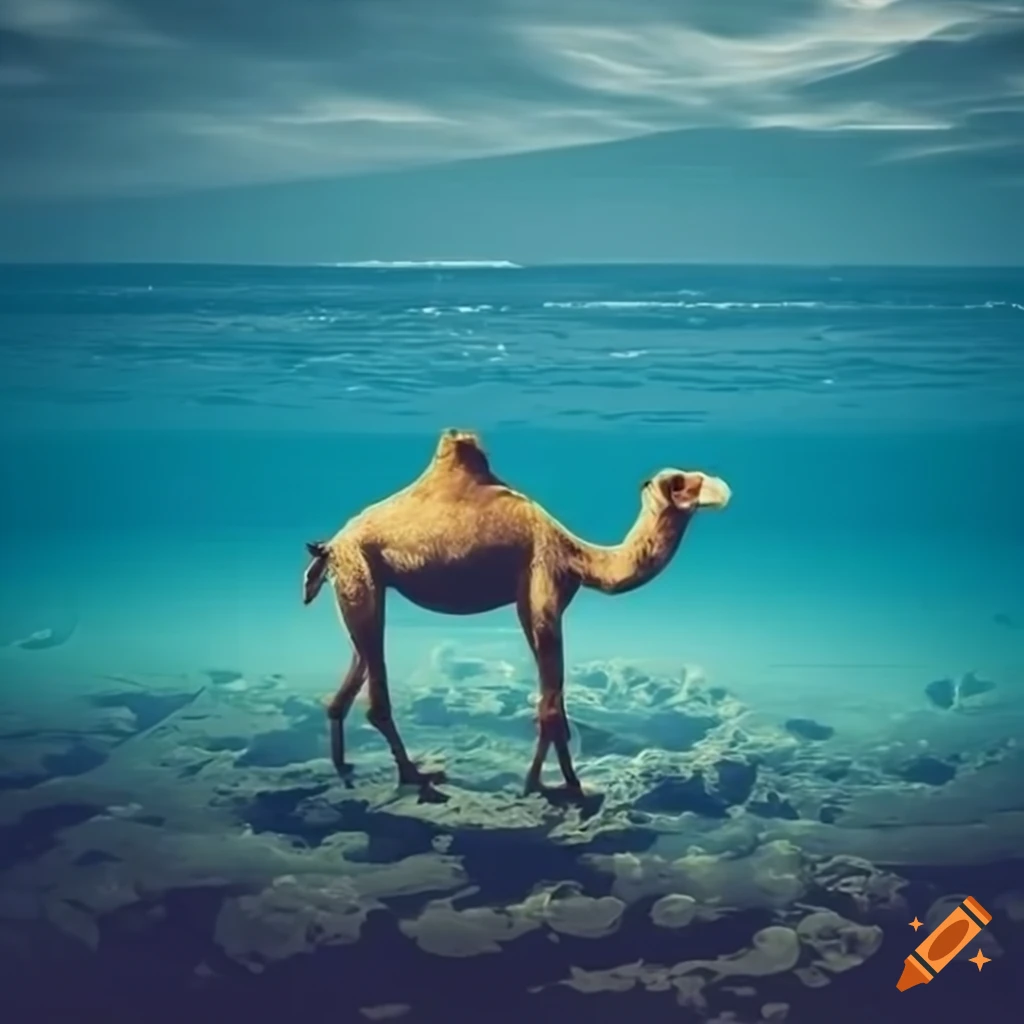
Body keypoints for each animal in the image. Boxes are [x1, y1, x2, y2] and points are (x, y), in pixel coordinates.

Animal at [302, 428, 730, 801]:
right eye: (680, 481)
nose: (721, 489)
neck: (582, 557)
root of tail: (331, 544)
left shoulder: (528, 603)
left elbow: (550, 704)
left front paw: (544, 782)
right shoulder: (546, 581)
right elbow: (551, 710)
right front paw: (565, 788)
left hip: (363, 582)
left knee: (350, 676)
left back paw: (344, 768)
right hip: (359, 569)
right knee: (375, 692)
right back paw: (416, 776)